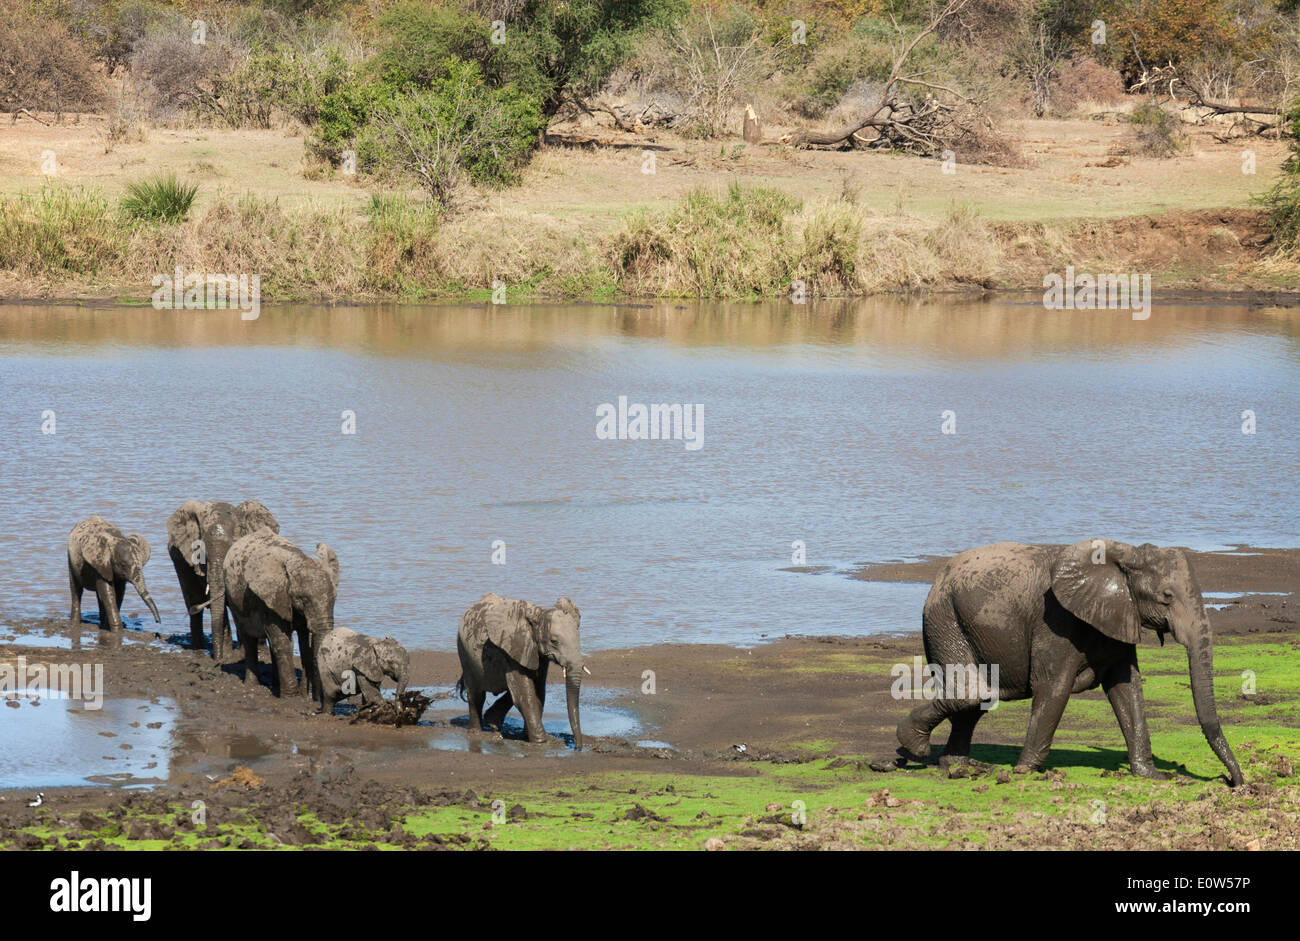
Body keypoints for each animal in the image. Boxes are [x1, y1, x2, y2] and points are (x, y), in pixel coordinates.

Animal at [165, 500, 279, 661]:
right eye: (202, 554)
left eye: (233, 549)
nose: (217, 659)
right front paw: (229, 654)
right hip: (178, 560)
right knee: (192, 601)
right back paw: (198, 649)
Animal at [224, 528, 338, 707]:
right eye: (303, 599)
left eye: (335, 599)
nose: (318, 700)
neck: (297, 559)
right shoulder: (270, 598)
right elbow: (282, 641)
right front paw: (292, 698)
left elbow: (306, 643)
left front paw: (307, 696)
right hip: (233, 598)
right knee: (248, 637)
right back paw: (252, 685)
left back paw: (276, 684)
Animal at [456, 593, 587, 749]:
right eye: (554, 641)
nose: (577, 747)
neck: (539, 615)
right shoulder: (513, 648)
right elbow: (525, 695)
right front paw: (540, 743)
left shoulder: (538, 654)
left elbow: (538, 691)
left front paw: (525, 736)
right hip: (465, 653)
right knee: (476, 695)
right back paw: (476, 732)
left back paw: (492, 723)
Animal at [886, 540, 1244, 786]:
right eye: (1167, 597)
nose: (1232, 782)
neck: (1122, 555)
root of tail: (937, 579)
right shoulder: (1056, 621)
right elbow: (1053, 687)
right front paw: (1023, 771)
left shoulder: (1116, 616)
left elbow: (1127, 690)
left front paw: (1152, 777)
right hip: (945, 617)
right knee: (973, 694)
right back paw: (916, 747)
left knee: (974, 702)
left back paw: (962, 768)